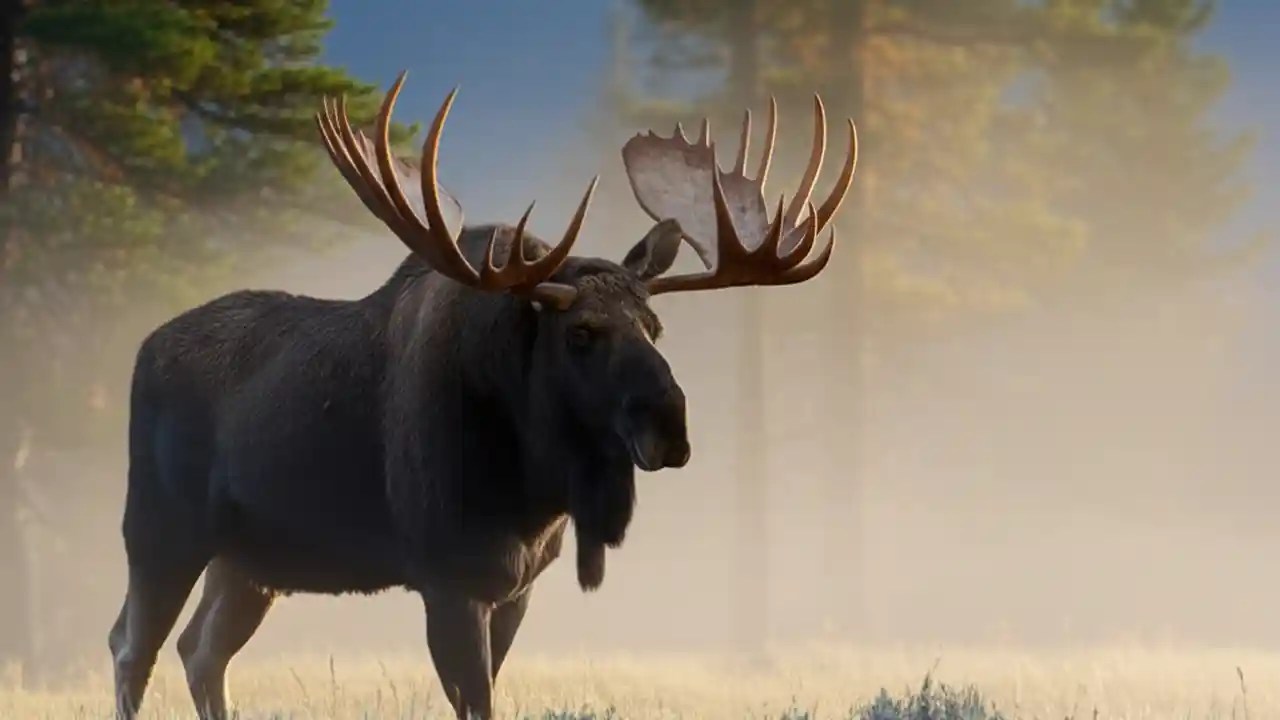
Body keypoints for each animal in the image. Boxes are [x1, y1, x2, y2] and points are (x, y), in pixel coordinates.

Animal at [108, 70, 857, 720]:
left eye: (654, 326)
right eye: (581, 332)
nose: (670, 427)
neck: (531, 484)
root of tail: (142, 349)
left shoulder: (514, 589)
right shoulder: (450, 577)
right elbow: (476, 701)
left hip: (249, 560)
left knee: (200, 650)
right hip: (161, 528)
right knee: (130, 646)